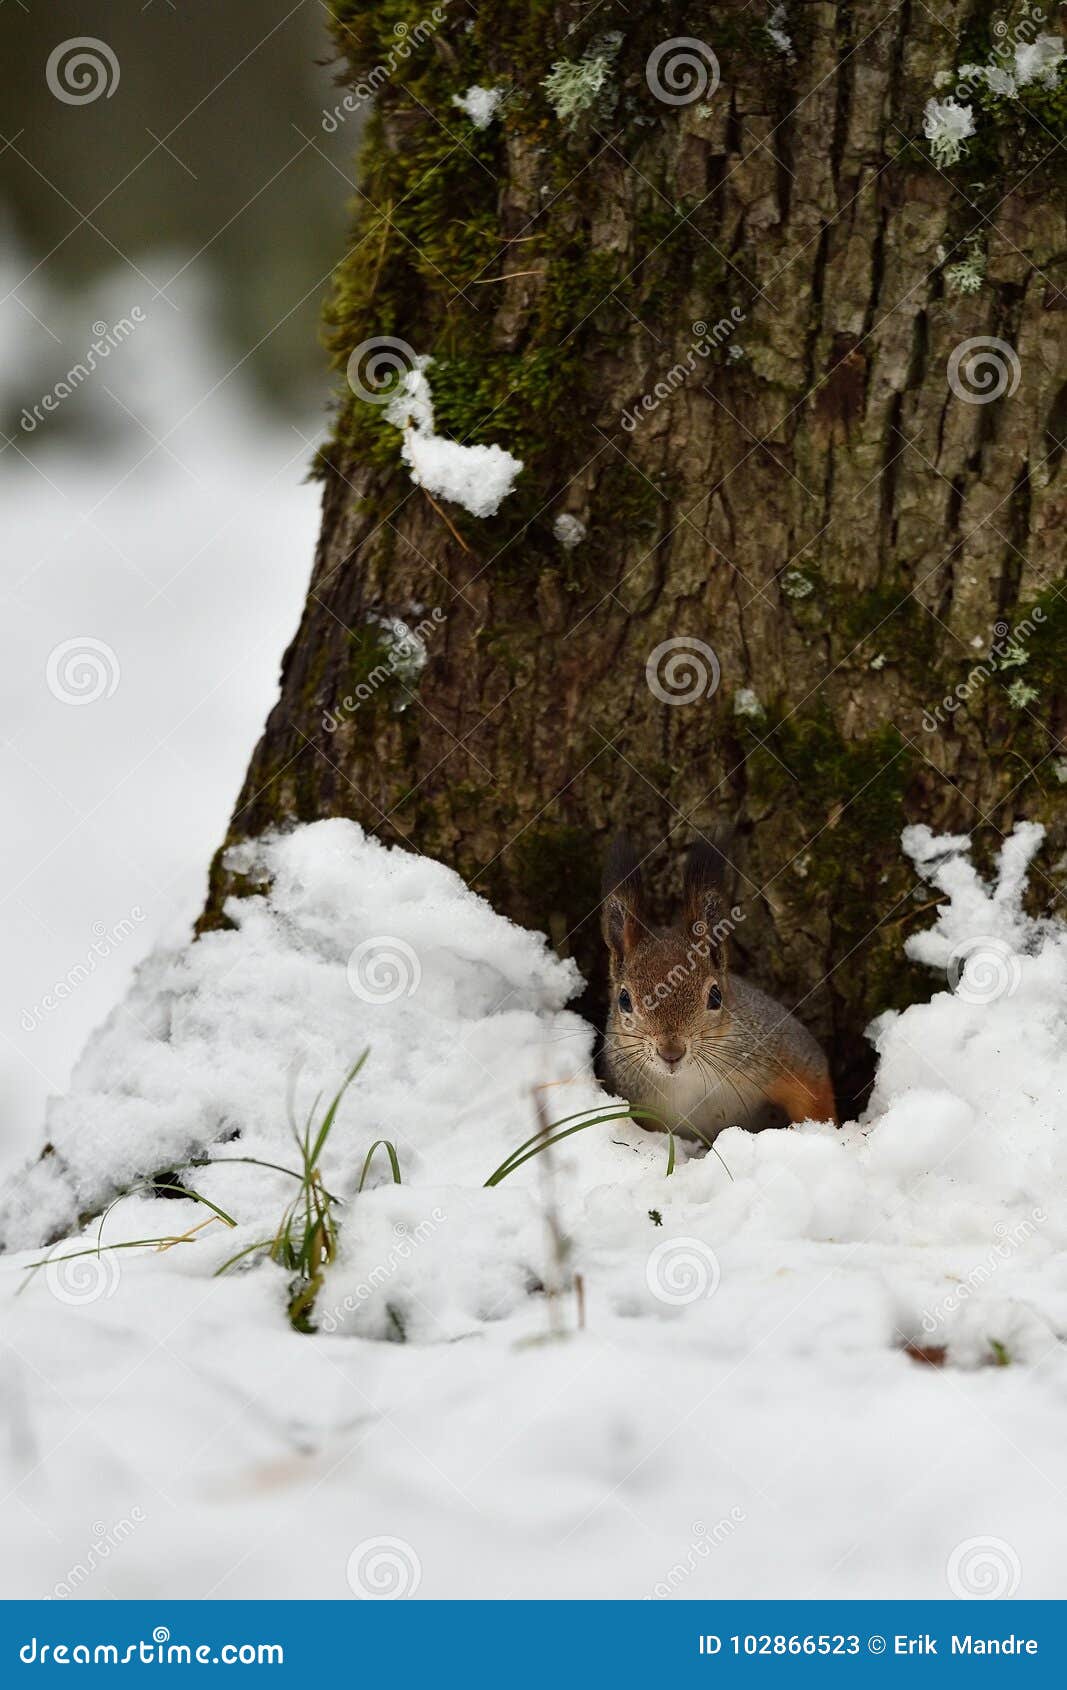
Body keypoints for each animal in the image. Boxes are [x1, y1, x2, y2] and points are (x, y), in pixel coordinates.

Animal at [600, 835, 837, 1145]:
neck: (687, 1079)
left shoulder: (785, 1049)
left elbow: (814, 1092)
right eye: (624, 1000)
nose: (671, 1052)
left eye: (715, 996)